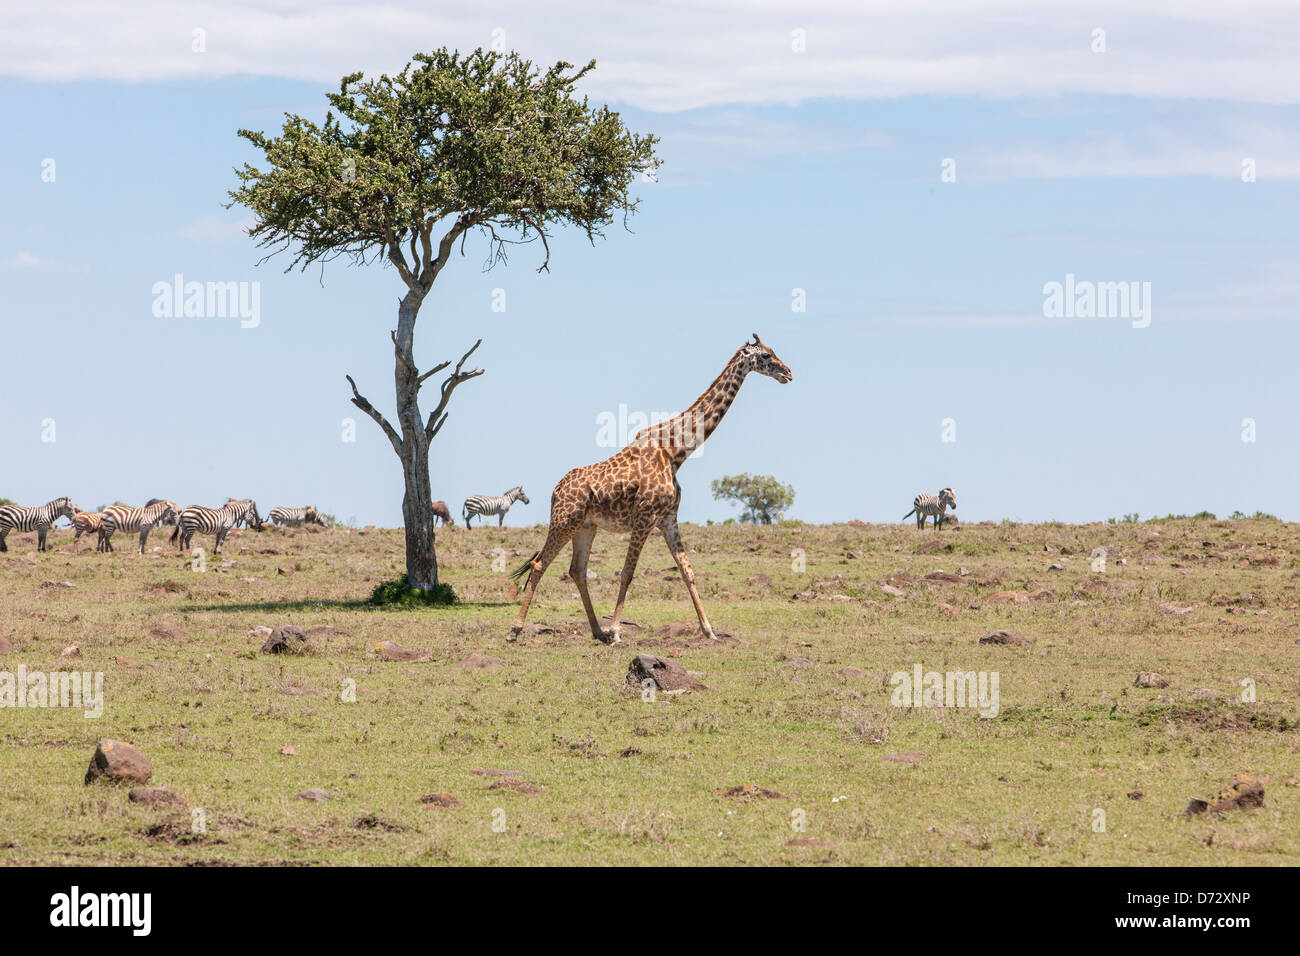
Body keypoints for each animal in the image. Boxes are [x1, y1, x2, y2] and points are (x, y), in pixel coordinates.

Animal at [510, 334, 793, 644]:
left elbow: (687, 570)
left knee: (578, 570)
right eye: (765, 356)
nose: (788, 373)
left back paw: (597, 630)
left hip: (586, 526)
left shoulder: (668, 518)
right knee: (540, 564)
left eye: (773, 351)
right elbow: (627, 572)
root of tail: (555, 490)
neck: (676, 452)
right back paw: (516, 629)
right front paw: (617, 631)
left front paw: (709, 631)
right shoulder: (644, 517)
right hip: (564, 521)